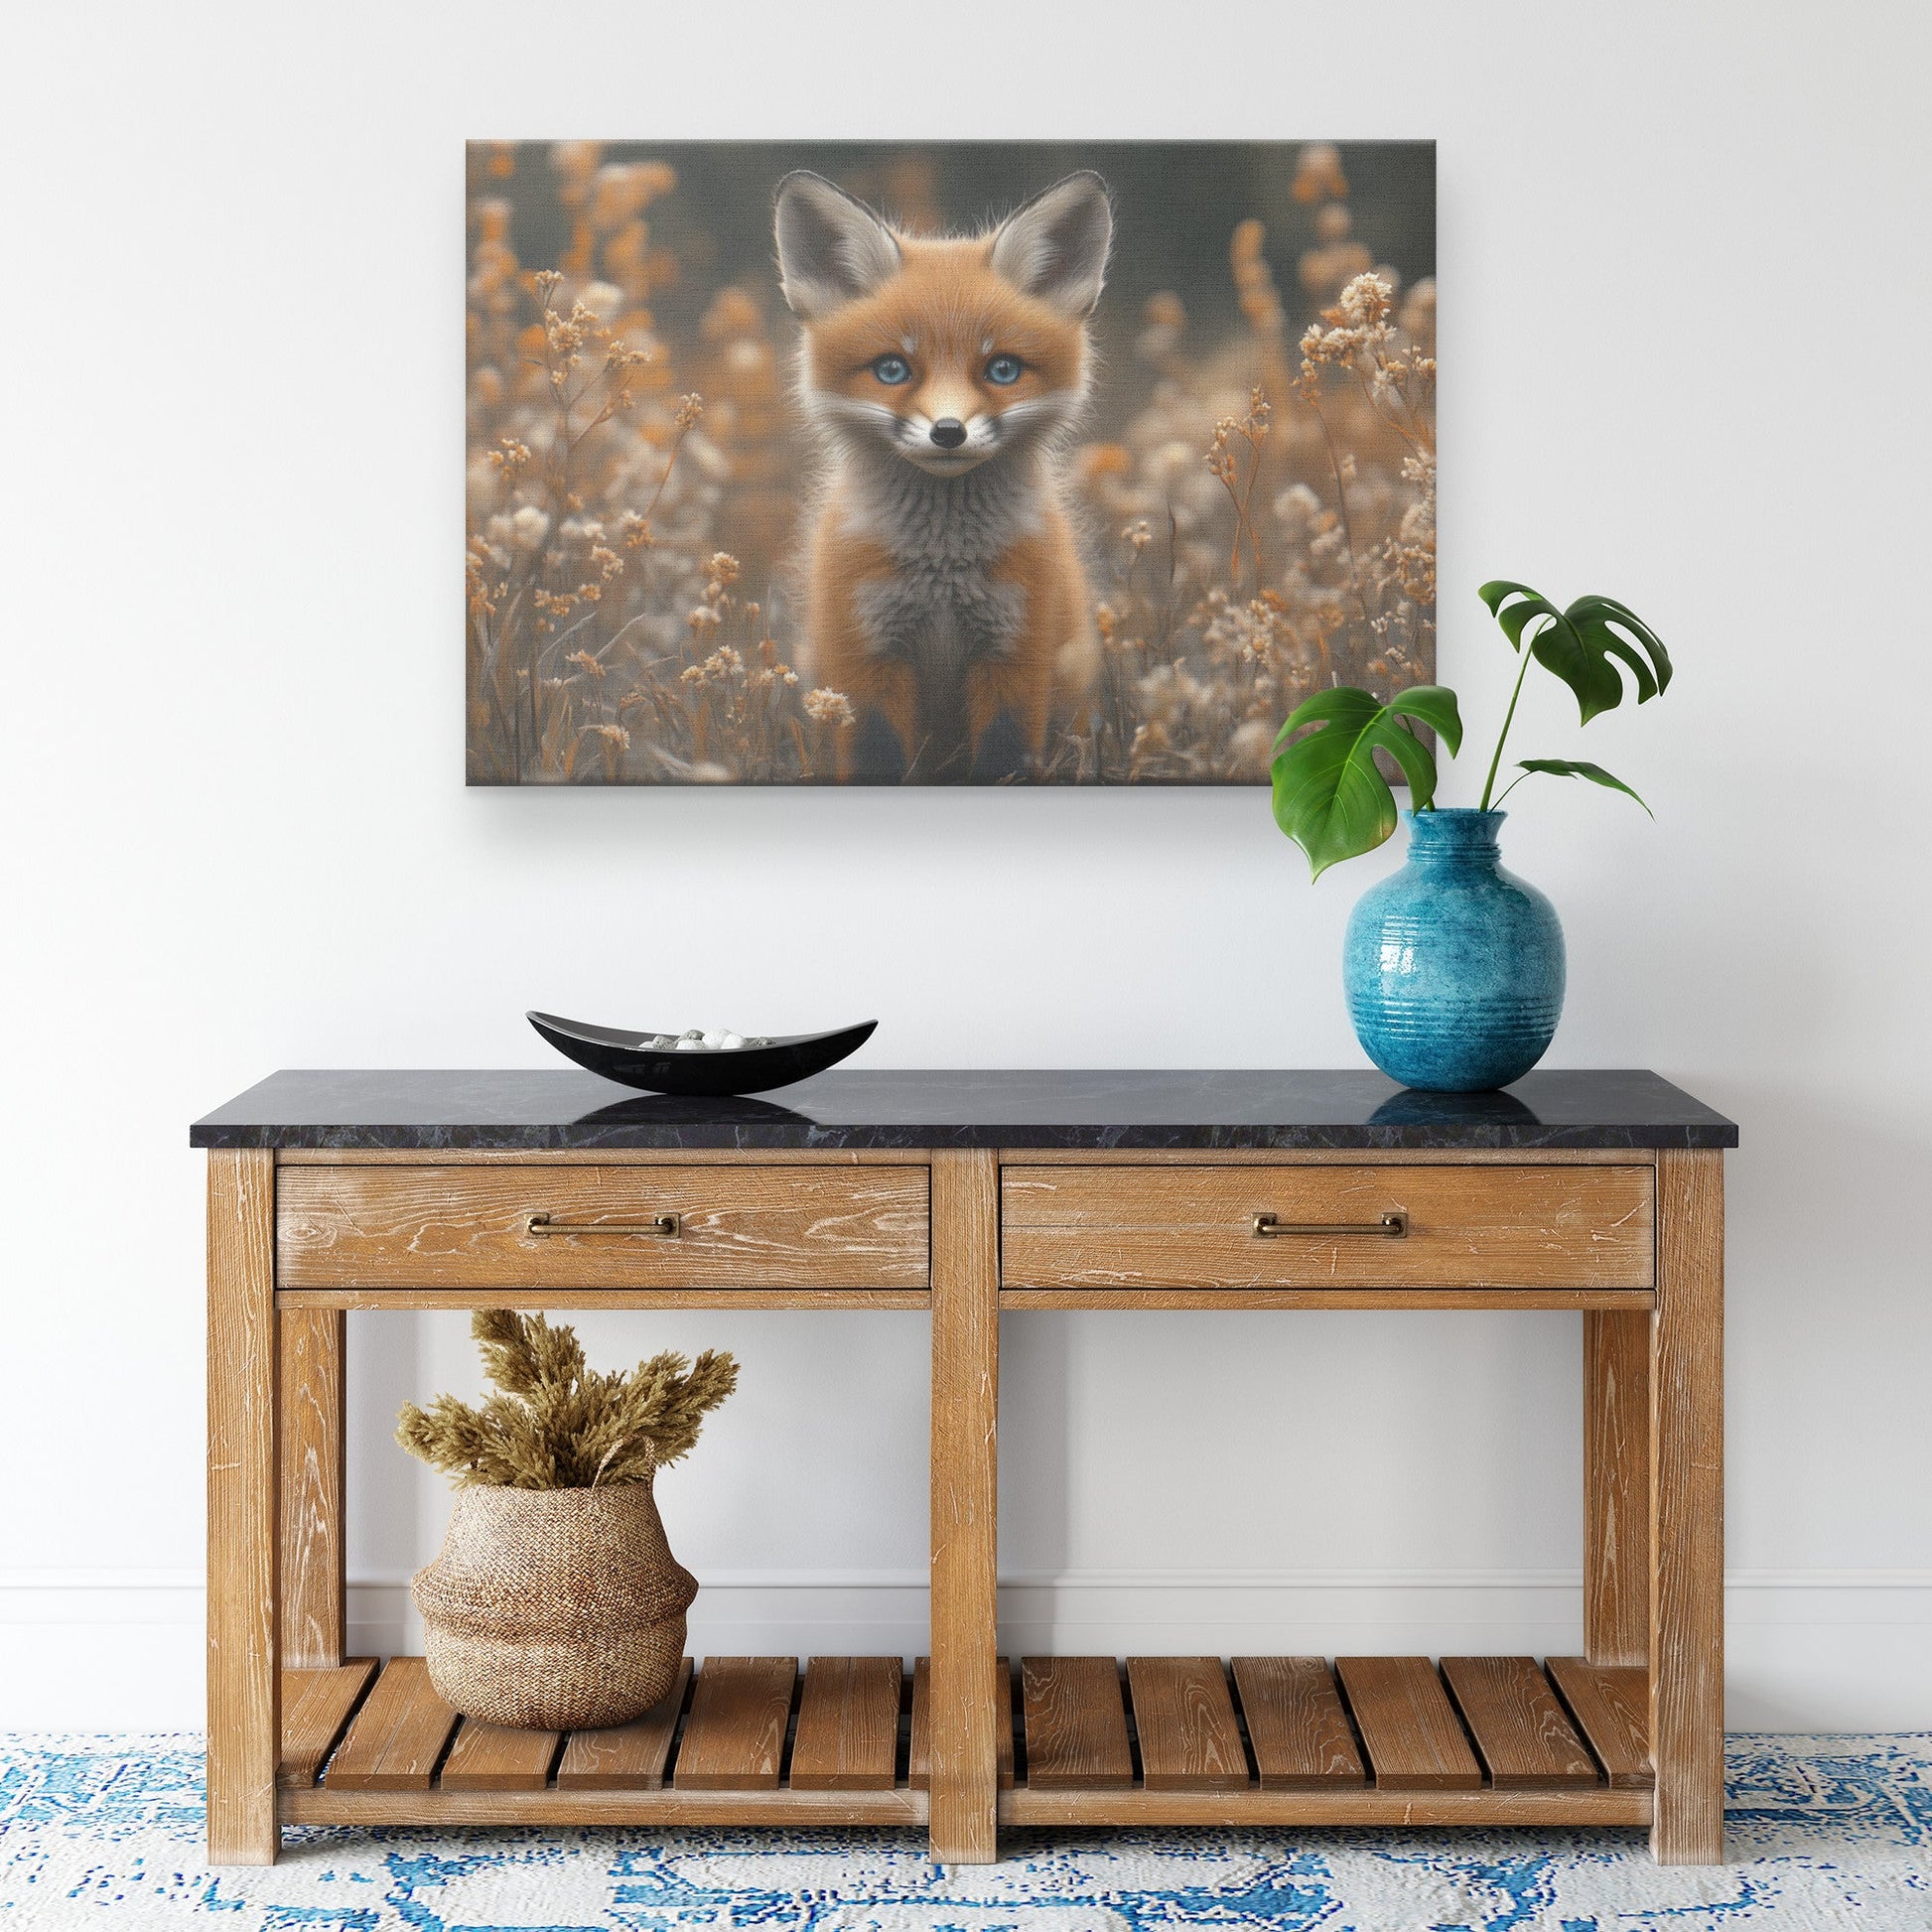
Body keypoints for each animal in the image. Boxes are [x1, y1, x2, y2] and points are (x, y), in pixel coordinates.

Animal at [772, 168, 1113, 781]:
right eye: (892, 369)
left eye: (1002, 369)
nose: (948, 432)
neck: (942, 570)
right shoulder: (866, 654)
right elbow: (875, 757)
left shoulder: (1015, 651)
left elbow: (1005, 760)